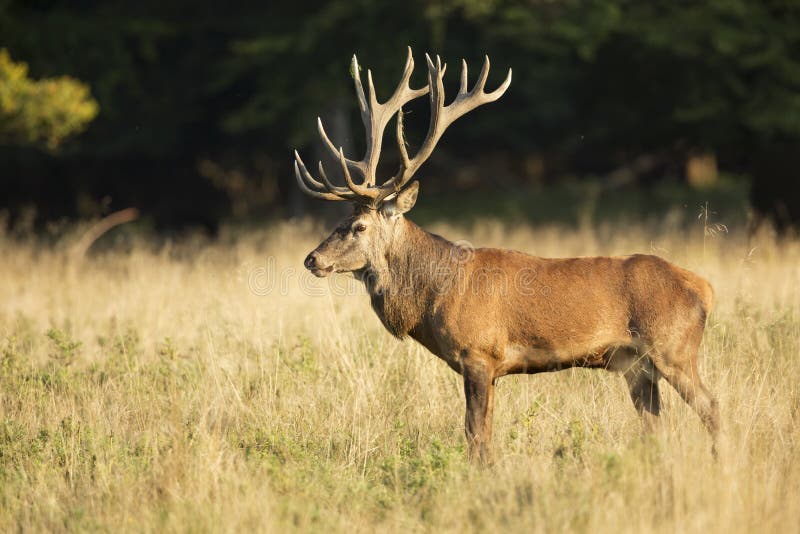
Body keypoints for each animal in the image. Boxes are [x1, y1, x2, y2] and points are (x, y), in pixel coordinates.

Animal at [293, 48, 720, 464]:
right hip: (635, 365)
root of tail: (705, 288)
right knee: (657, 427)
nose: (312, 259)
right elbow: (484, 433)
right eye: (341, 220)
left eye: (359, 226)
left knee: (711, 406)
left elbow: (476, 435)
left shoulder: (478, 352)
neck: (434, 294)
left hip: (673, 348)